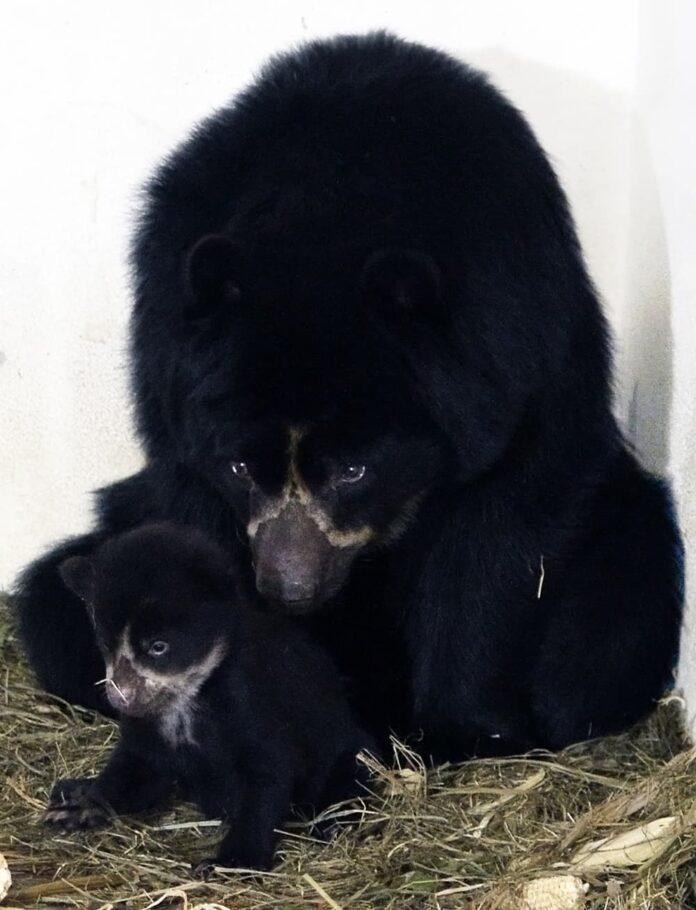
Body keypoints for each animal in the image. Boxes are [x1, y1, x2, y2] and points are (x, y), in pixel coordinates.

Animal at [15, 32, 683, 761]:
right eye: (240, 467)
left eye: (356, 470)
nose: (288, 587)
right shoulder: (167, 356)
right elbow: (188, 538)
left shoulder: (522, 341)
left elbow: (507, 524)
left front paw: (467, 728)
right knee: (50, 603)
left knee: (605, 638)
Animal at [44, 522, 372, 872]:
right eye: (106, 643)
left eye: (158, 646)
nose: (121, 700)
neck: (188, 699)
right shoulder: (148, 731)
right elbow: (132, 769)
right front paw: (81, 807)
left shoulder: (254, 708)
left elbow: (265, 784)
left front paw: (235, 861)